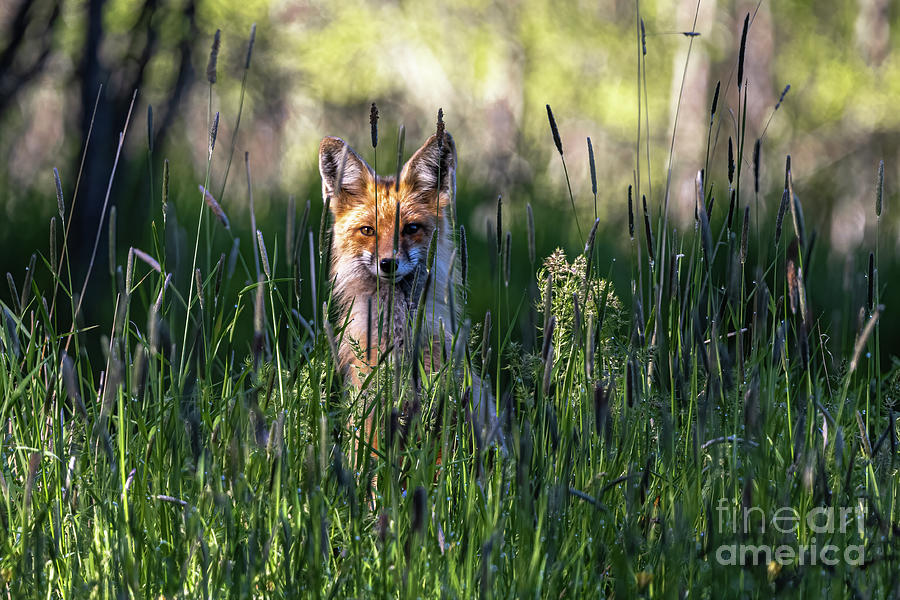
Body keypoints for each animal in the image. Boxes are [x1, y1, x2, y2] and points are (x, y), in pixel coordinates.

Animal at [318, 130, 500, 457]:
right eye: (368, 231)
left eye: (410, 228)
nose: (388, 263)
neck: (399, 334)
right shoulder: (371, 400)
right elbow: (371, 460)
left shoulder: (439, 399)